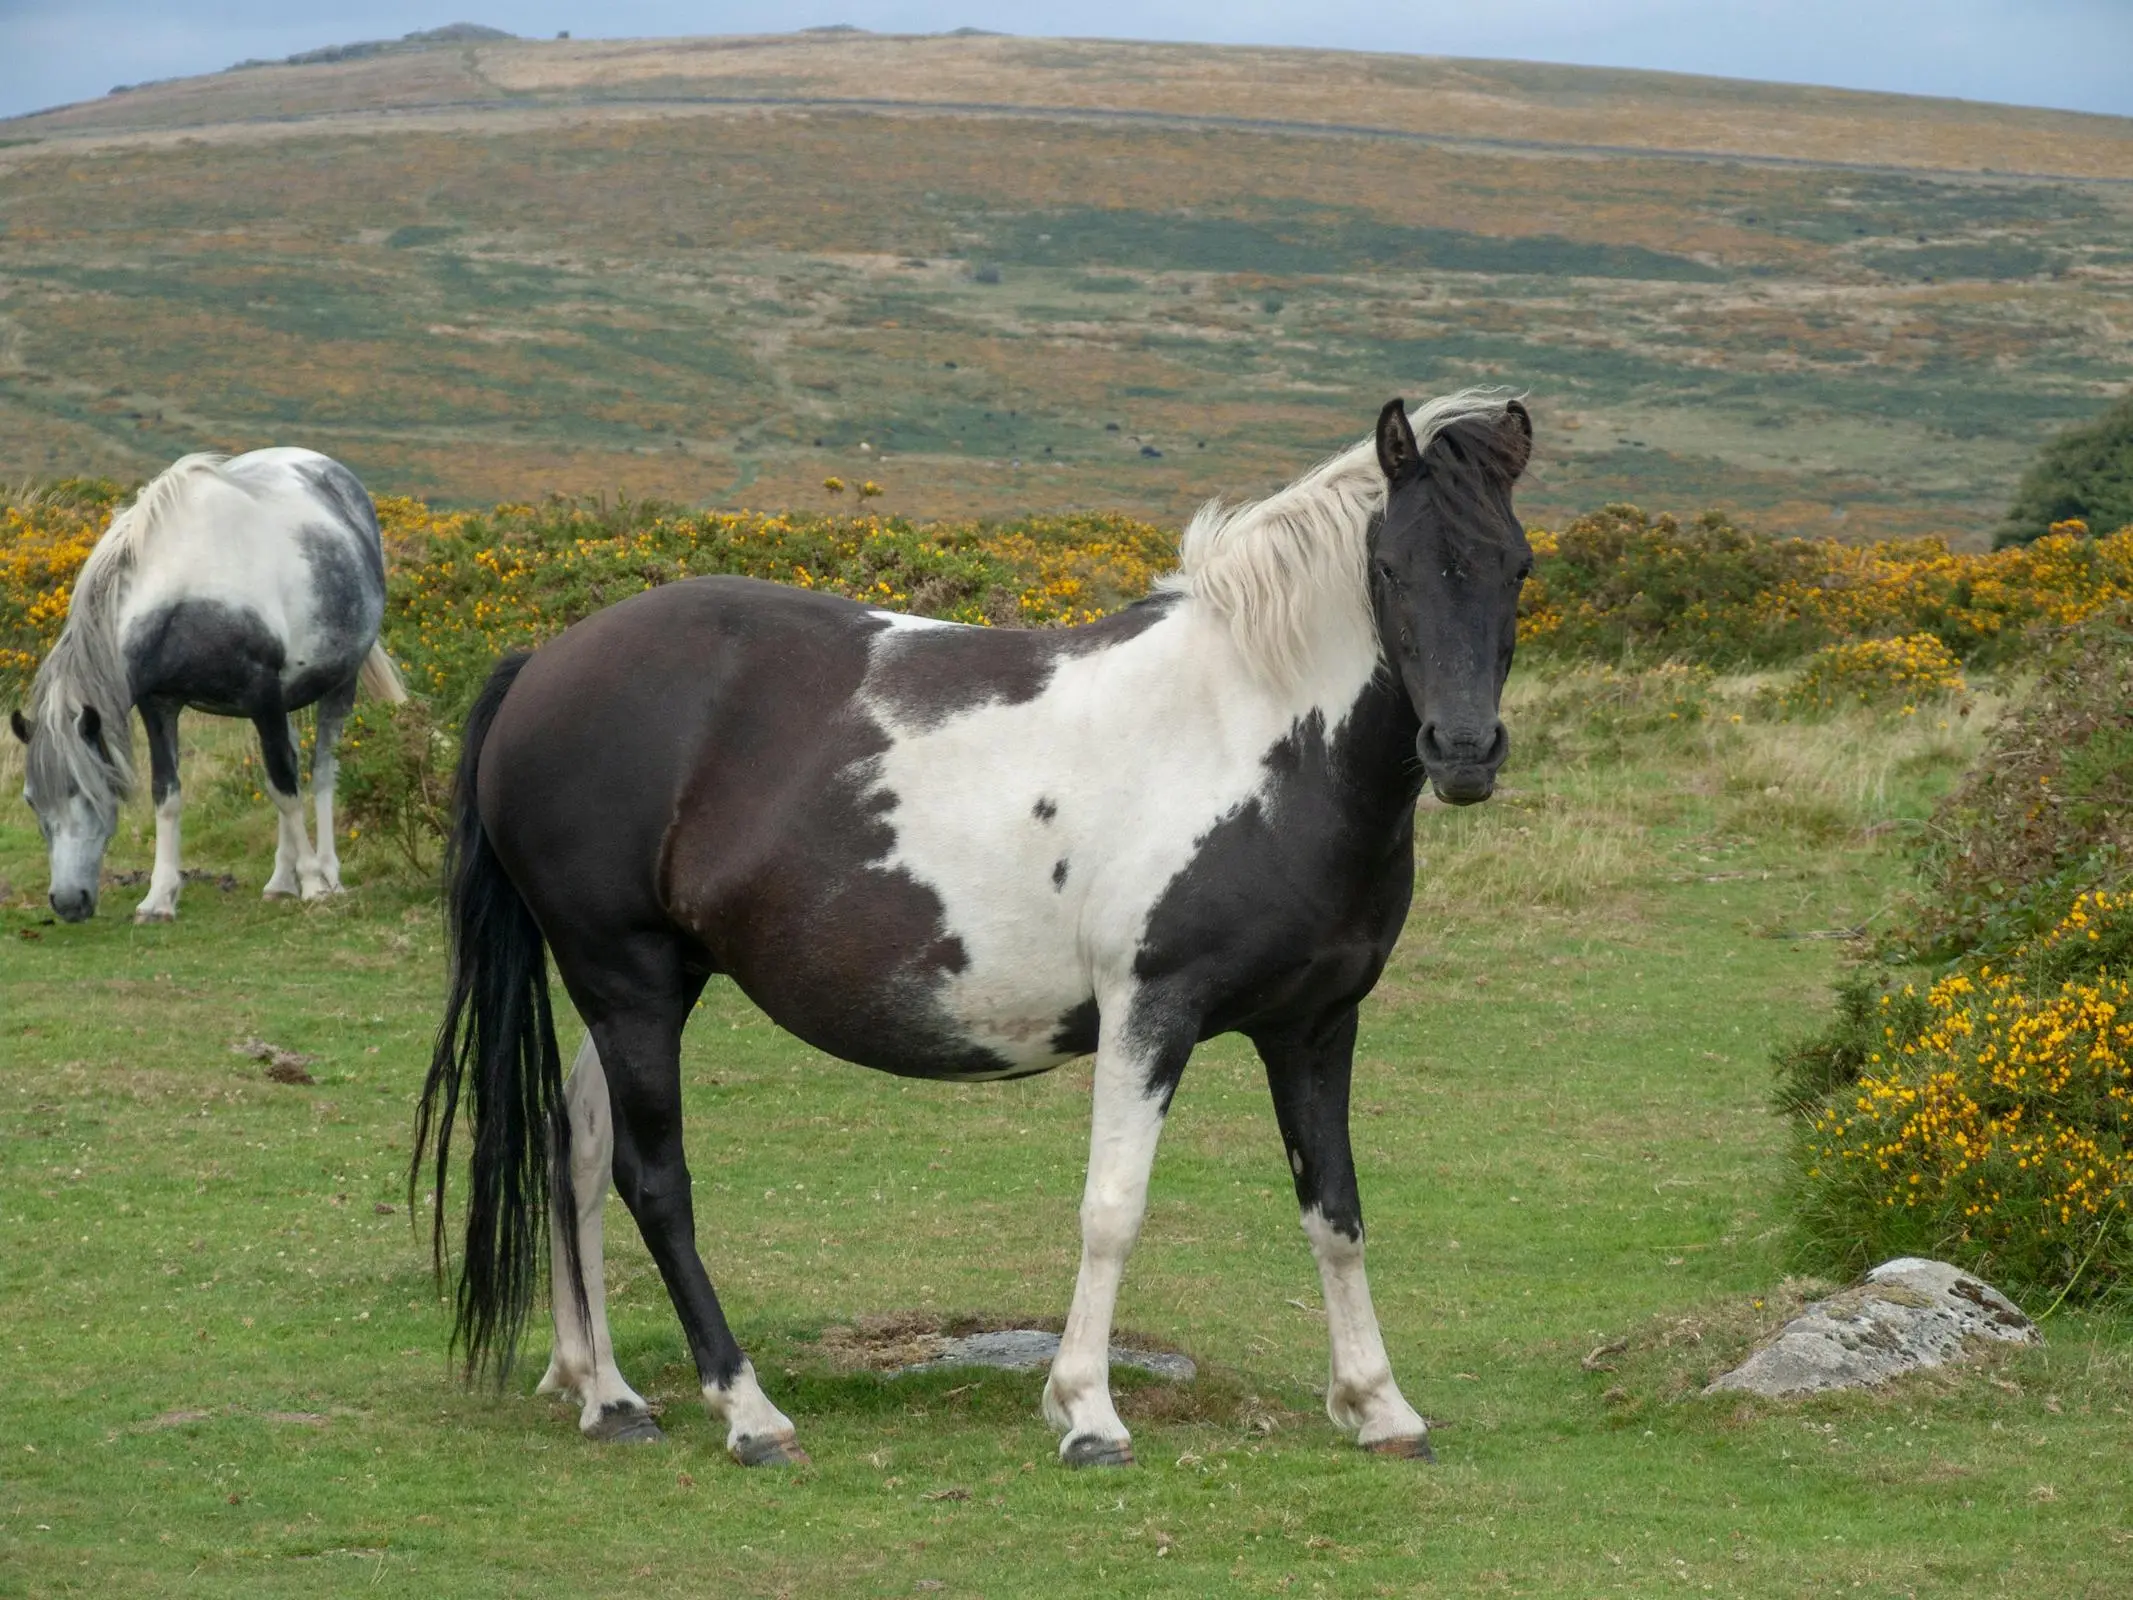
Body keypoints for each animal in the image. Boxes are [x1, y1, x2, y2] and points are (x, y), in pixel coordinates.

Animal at [9, 449, 406, 923]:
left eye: (89, 792)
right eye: (31, 800)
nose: (69, 903)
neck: (186, 590)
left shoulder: (263, 694)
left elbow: (286, 787)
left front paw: (312, 882)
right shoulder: (160, 705)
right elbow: (168, 794)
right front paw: (158, 899)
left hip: (338, 685)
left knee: (323, 772)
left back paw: (328, 874)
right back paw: (280, 881)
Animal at [414, 390, 1533, 1469]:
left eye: (1517, 566)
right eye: (1390, 568)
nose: (1463, 749)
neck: (1248, 739)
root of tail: (545, 662)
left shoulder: (1314, 1025)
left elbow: (1335, 1212)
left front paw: (1379, 1407)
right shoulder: (1151, 1011)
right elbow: (1112, 1207)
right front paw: (1088, 1414)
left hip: (650, 984)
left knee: (576, 1145)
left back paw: (605, 1395)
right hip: (625, 977)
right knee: (653, 1181)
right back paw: (748, 1414)